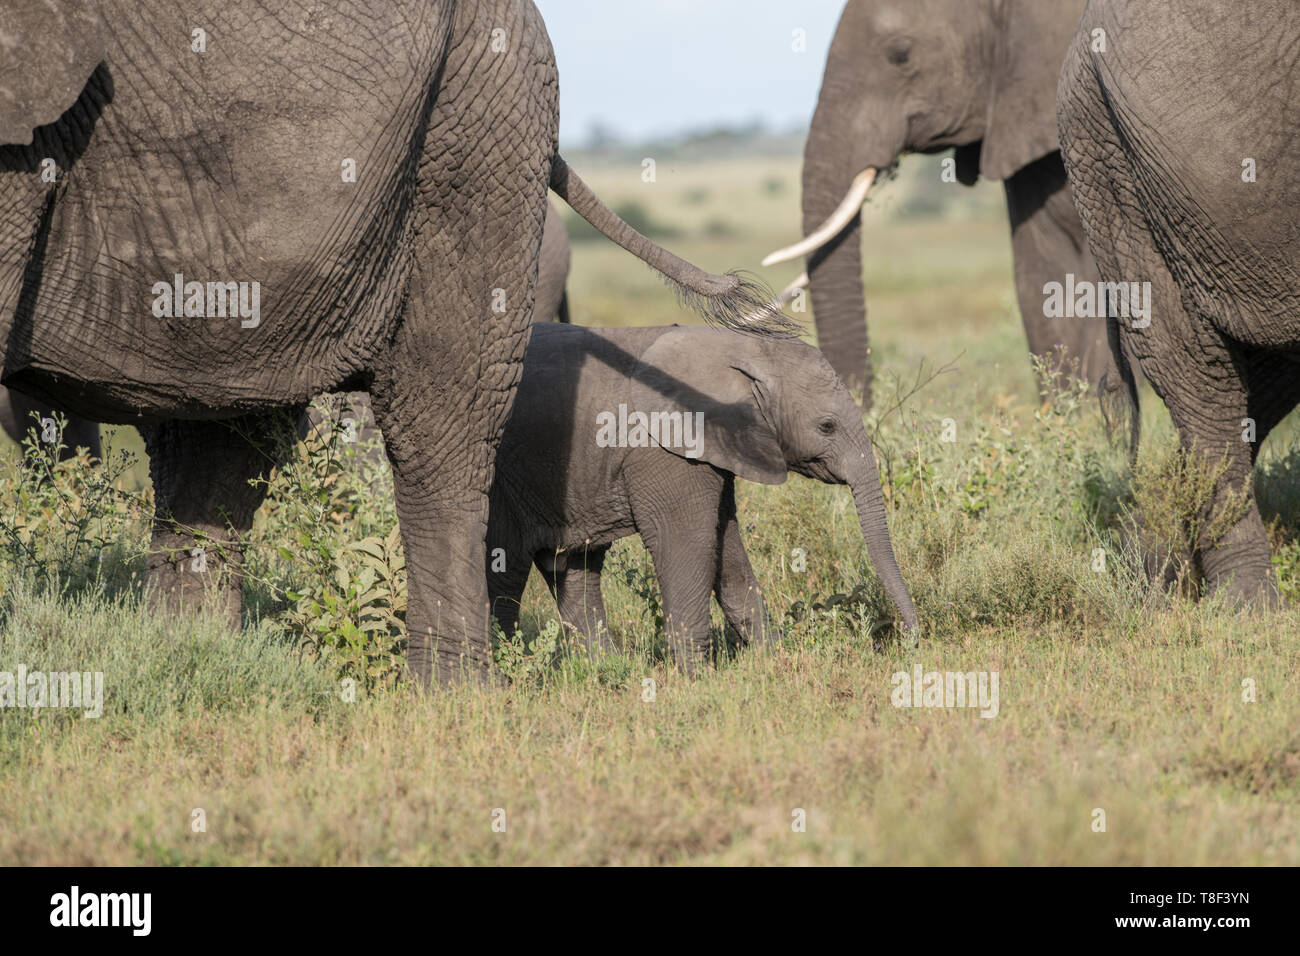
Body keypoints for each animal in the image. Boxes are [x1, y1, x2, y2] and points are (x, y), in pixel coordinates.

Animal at [484, 322, 920, 672]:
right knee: (505, 566)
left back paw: (608, 669)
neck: (738, 346)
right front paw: (697, 679)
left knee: (574, 567)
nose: (909, 641)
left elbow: (729, 552)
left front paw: (774, 660)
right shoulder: (663, 451)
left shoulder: (717, 446)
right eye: (827, 426)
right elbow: (687, 545)